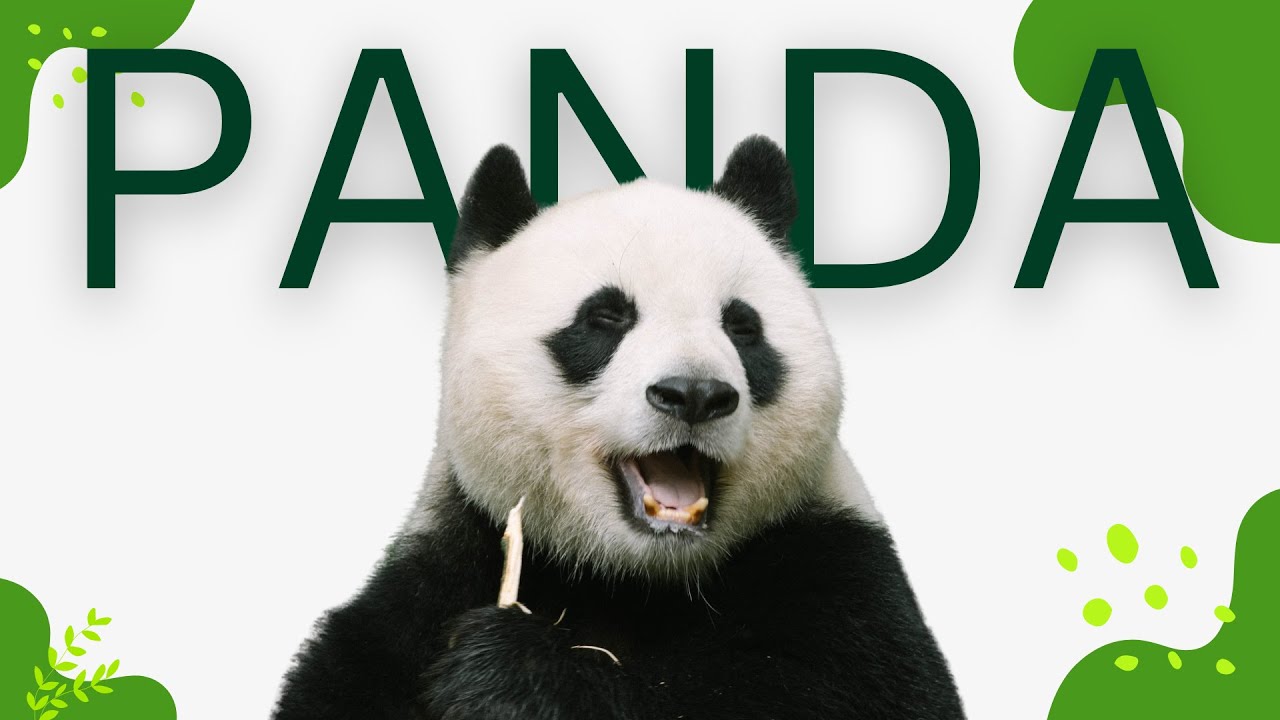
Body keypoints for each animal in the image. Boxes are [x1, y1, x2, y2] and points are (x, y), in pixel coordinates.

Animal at [272, 136, 964, 720]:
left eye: (742, 326)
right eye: (606, 317)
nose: (695, 394)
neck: (634, 577)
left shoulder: (839, 576)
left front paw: (510, 674)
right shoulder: (427, 587)